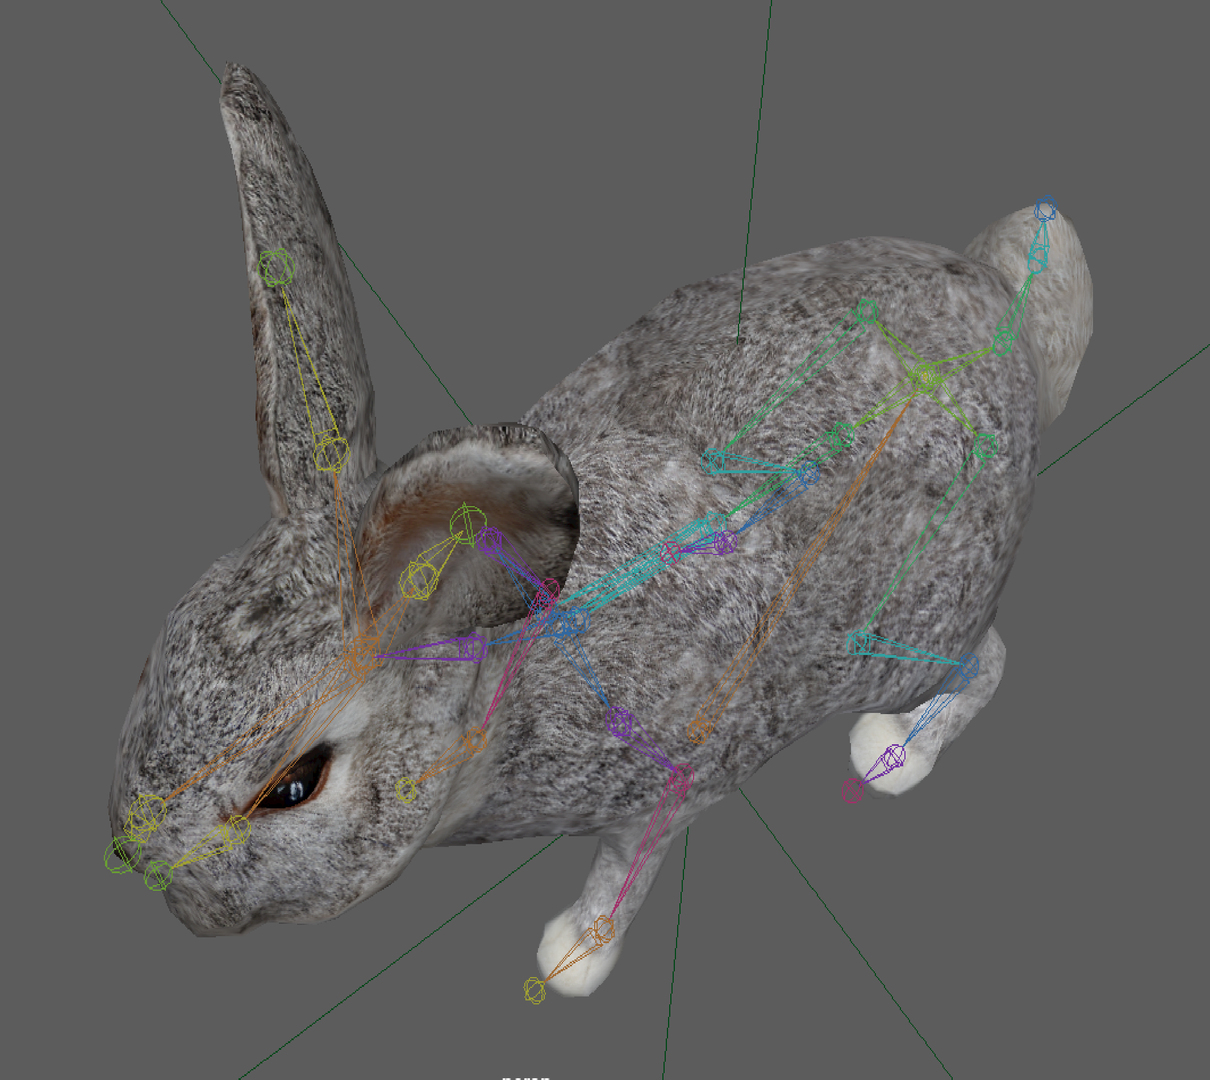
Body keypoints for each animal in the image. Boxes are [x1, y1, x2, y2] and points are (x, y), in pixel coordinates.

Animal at [108, 62, 1092, 999]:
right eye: (153, 665)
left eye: (292, 786)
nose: (140, 864)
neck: (488, 670)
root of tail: (1008, 310)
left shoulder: (677, 767)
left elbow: (629, 863)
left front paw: (572, 957)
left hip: (908, 633)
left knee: (987, 662)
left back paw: (895, 752)